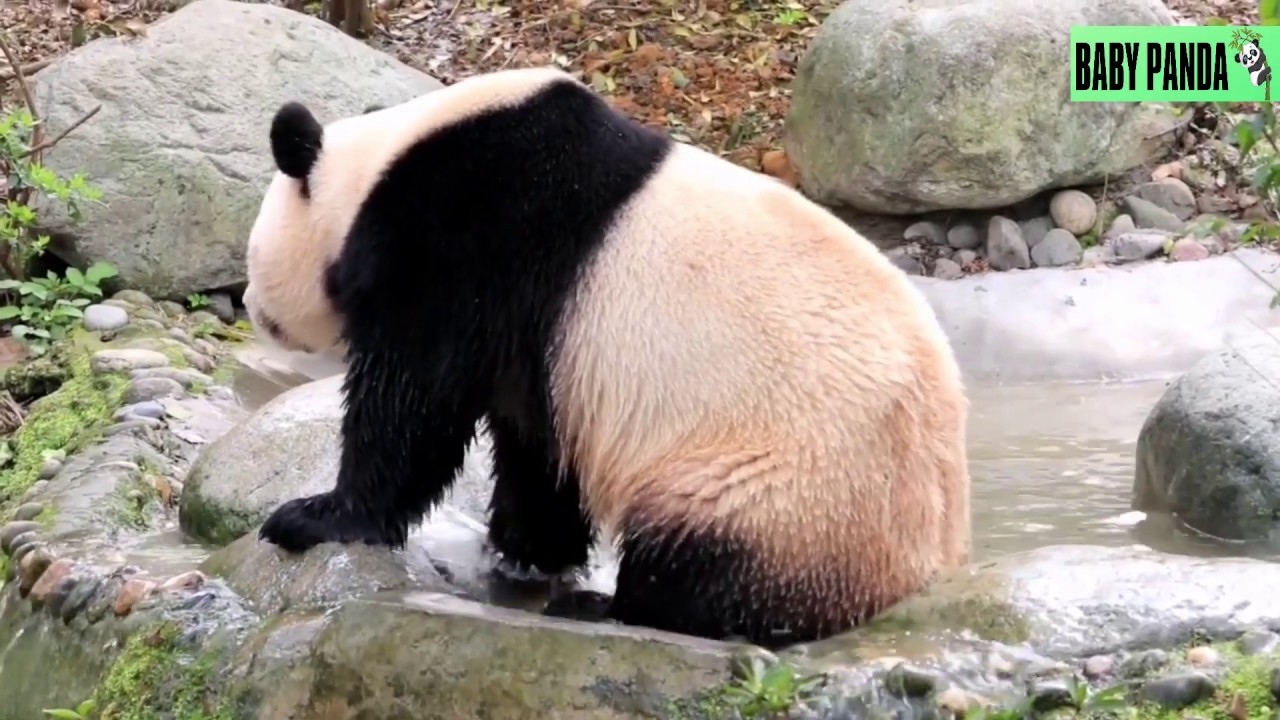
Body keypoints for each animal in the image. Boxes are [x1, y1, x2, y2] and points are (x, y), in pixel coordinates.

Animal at [244, 66, 972, 648]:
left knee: (706, 560)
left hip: (788, 484)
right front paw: (526, 554)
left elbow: (414, 400)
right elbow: (537, 442)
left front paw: (314, 517)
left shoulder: (466, 237)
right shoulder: (542, 336)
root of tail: (923, 568)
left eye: (253, 258)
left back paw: (607, 606)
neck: (381, 167)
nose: (249, 306)